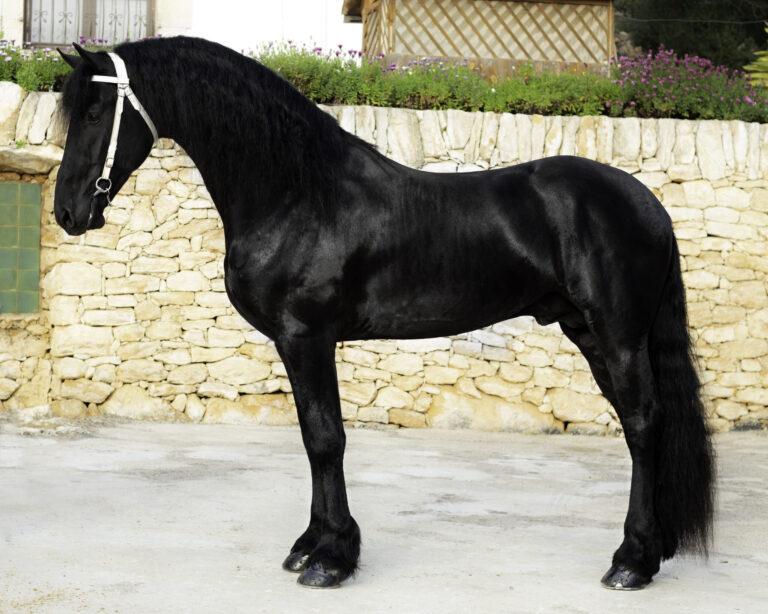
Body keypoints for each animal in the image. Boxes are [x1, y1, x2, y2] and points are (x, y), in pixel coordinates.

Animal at [53, 37, 714, 590]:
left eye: (94, 114)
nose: (68, 213)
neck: (298, 192)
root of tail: (648, 203)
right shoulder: (295, 344)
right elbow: (312, 437)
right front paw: (311, 544)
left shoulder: (307, 337)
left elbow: (325, 439)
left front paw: (331, 559)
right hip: (589, 334)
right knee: (638, 425)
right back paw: (651, 551)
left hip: (618, 336)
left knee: (644, 425)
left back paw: (630, 561)